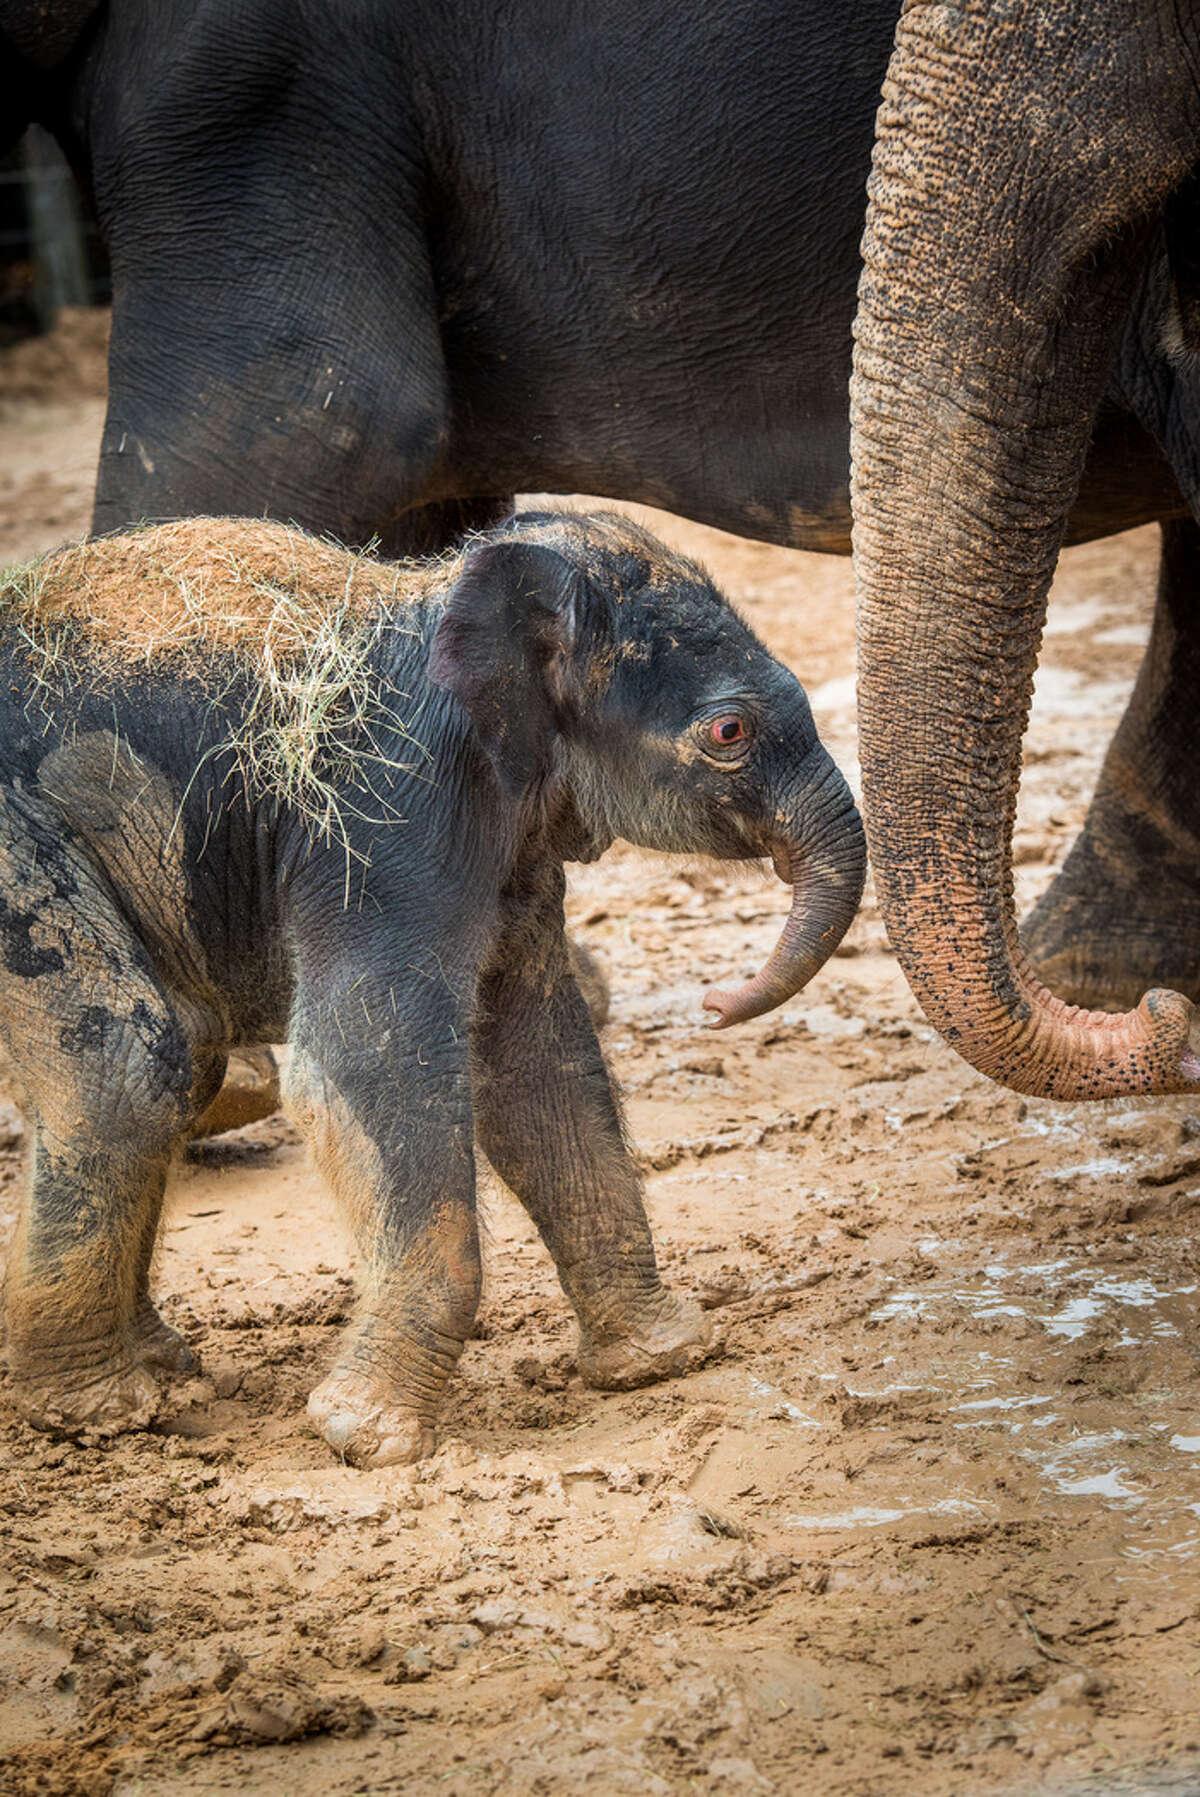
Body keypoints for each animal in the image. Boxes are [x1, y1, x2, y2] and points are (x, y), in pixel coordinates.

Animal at [0, 509, 865, 1466]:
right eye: (730, 734)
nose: (716, 1007)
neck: (448, 599)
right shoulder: (387, 815)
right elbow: (367, 1063)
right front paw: (364, 1437)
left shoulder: (508, 841)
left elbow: (538, 1067)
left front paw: (659, 1359)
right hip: (15, 841)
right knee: (122, 1060)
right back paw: (99, 1409)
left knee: (178, 1063)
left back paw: (162, 1371)